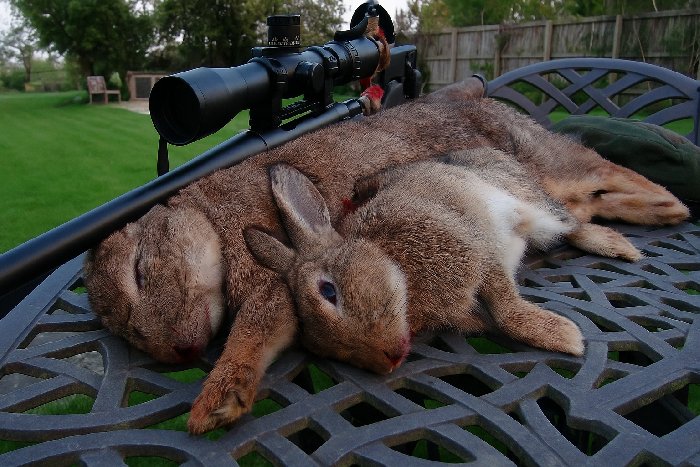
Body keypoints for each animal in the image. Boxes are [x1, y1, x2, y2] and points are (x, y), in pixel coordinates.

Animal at [244, 151, 588, 377]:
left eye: (328, 291)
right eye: (314, 345)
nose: (388, 361)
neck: (393, 260)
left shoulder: (479, 251)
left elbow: (506, 308)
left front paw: (567, 338)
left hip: (539, 211)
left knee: (576, 225)